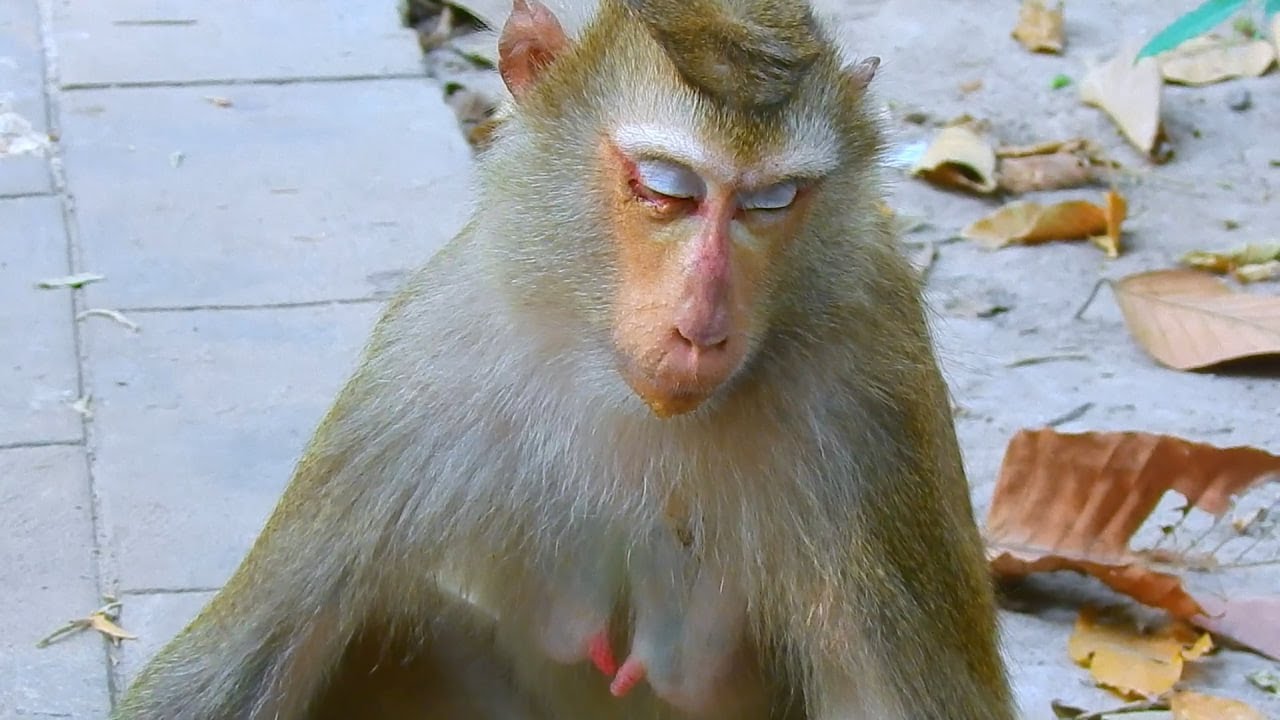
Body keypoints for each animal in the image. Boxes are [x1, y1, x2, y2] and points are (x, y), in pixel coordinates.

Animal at [114, 0, 1016, 717]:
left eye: (772, 202)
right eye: (666, 187)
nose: (702, 329)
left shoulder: (870, 397)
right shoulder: (427, 362)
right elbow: (241, 661)